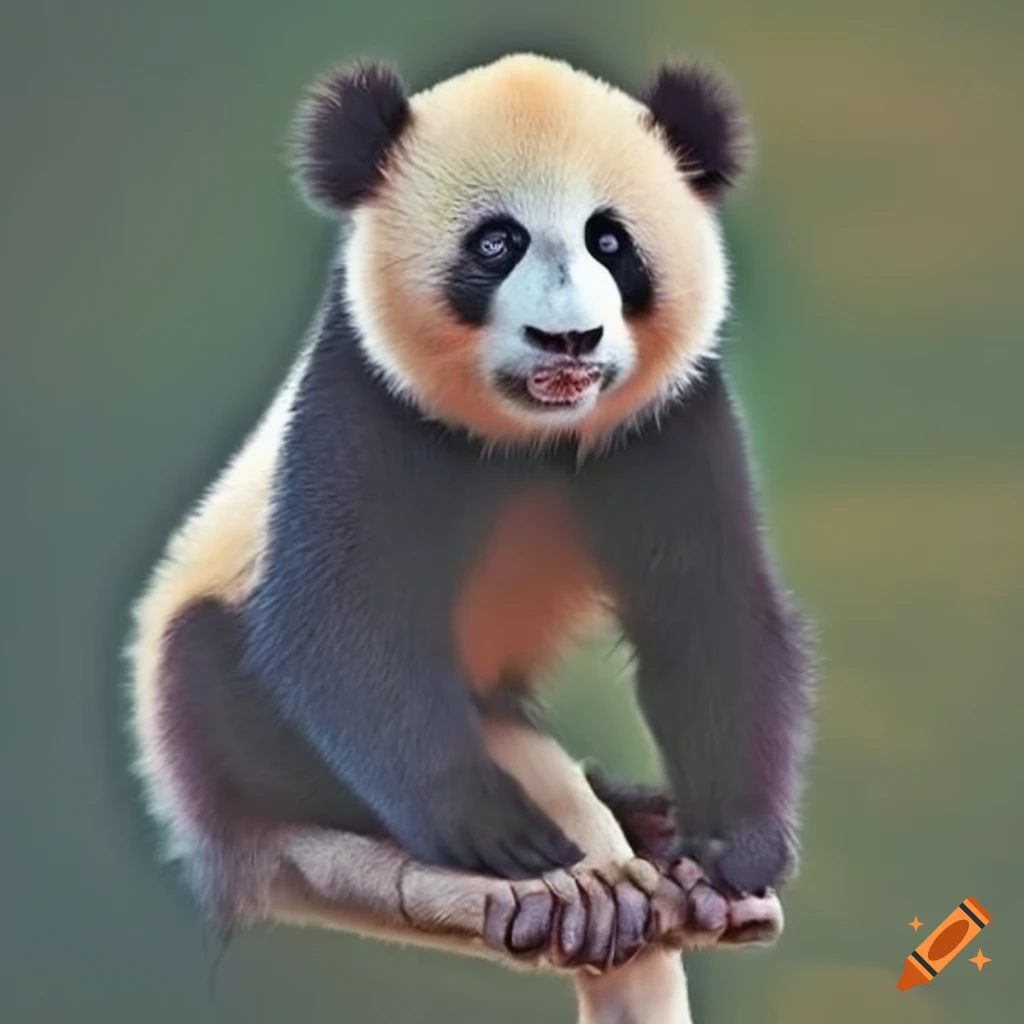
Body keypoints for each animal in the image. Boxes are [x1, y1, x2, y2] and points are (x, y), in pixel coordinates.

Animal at [127, 51, 808, 1017]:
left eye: (610, 241)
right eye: (497, 243)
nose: (569, 338)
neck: (528, 431)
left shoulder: (668, 417)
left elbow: (713, 610)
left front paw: (731, 846)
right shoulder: (366, 395)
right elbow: (338, 626)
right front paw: (499, 835)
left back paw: (638, 816)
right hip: (200, 683)